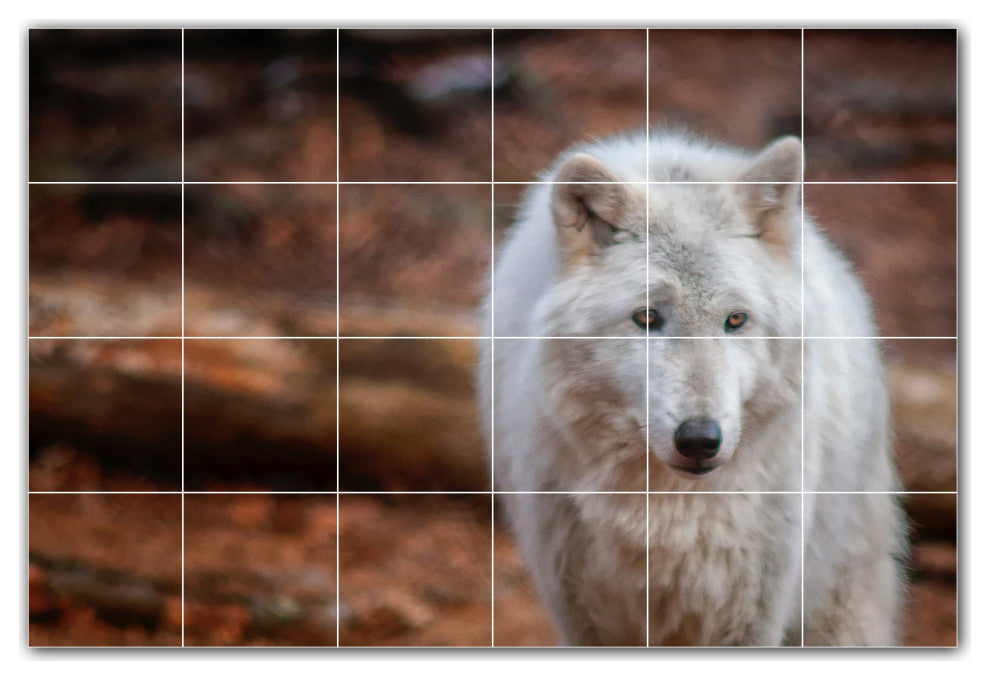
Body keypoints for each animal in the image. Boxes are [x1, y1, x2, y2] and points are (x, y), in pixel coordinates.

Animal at [478, 132, 907, 646]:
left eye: (736, 320)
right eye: (647, 317)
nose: (700, 439)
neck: (666, 513)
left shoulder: (751, 615)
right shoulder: (585, 614)